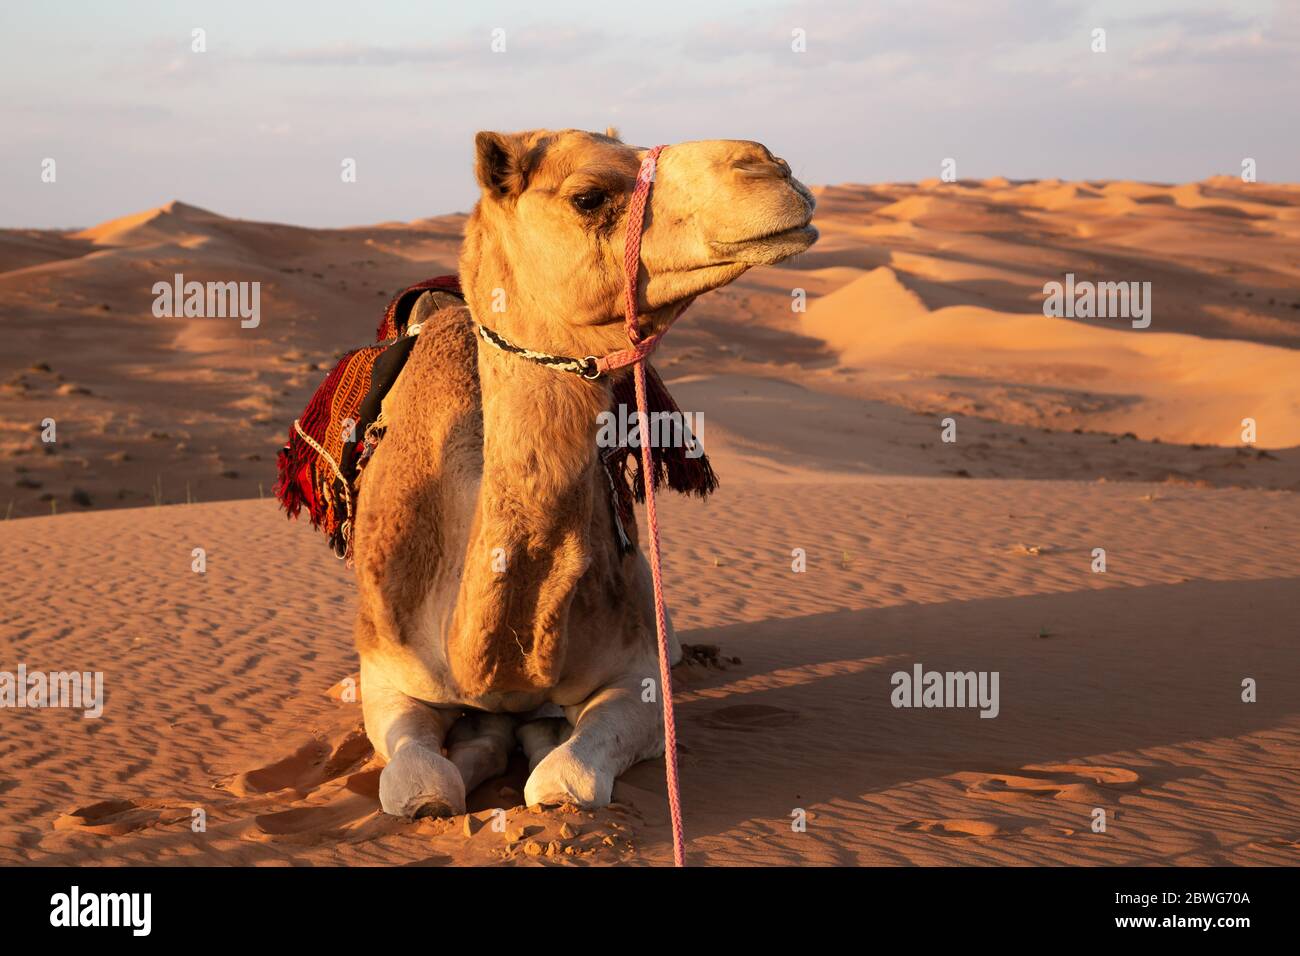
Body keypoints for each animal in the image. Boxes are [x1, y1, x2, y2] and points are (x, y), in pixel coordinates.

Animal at [352, 128, 817, 818]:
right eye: (588, 196)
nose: (770, 166)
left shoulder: (636, 673)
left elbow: (562, 782)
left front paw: (537, 745)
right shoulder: (388, 672)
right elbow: (424, 787)